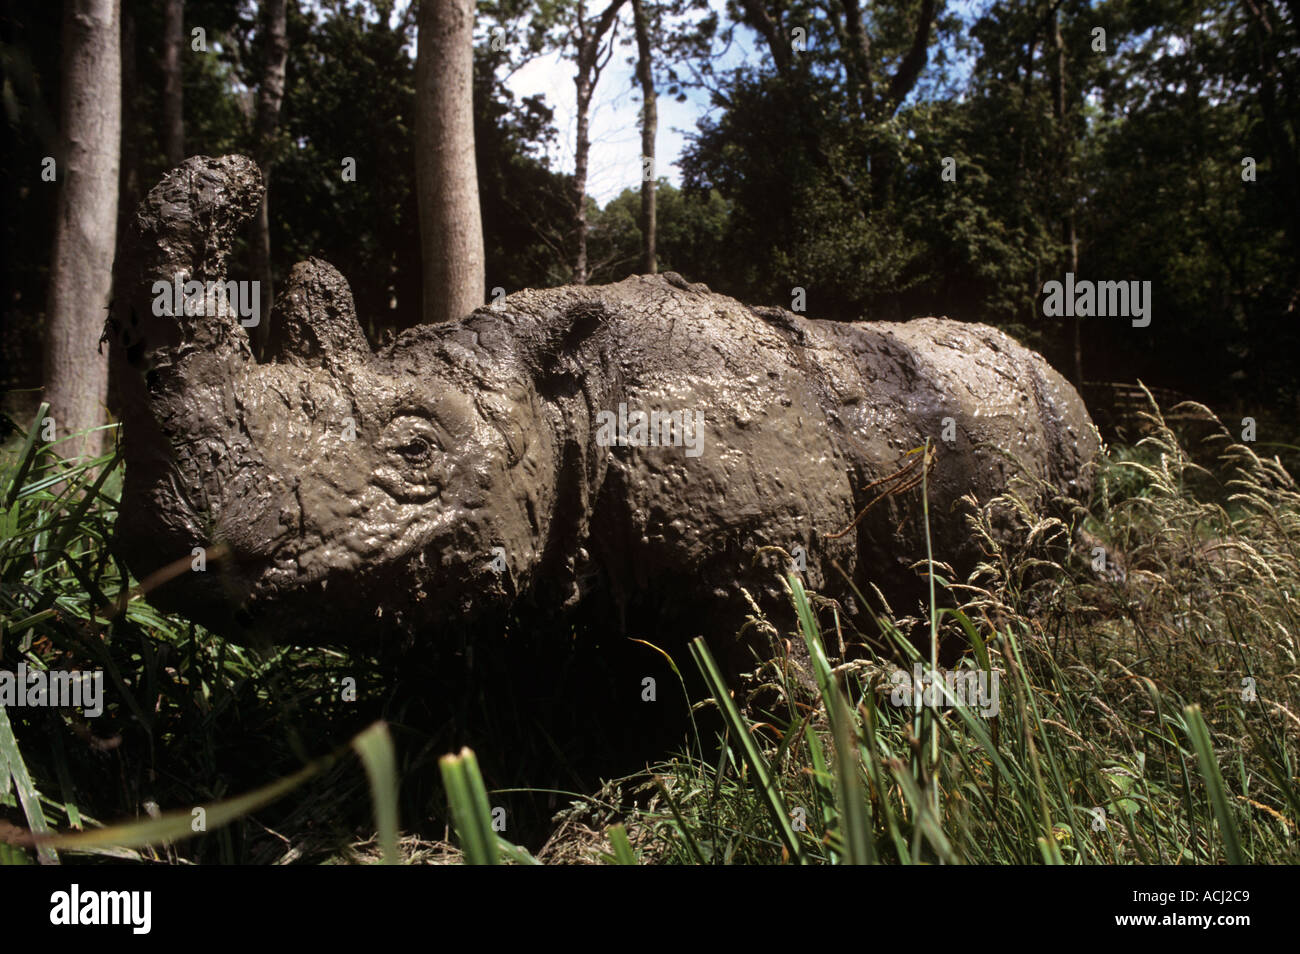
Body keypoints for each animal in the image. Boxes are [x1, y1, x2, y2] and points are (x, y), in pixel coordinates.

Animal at [106, 155, 1099, 662]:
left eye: (418, 450)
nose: (174, 558)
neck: (549, 376)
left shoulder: (763, 554)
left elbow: (779, 681)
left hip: (1055, 405)